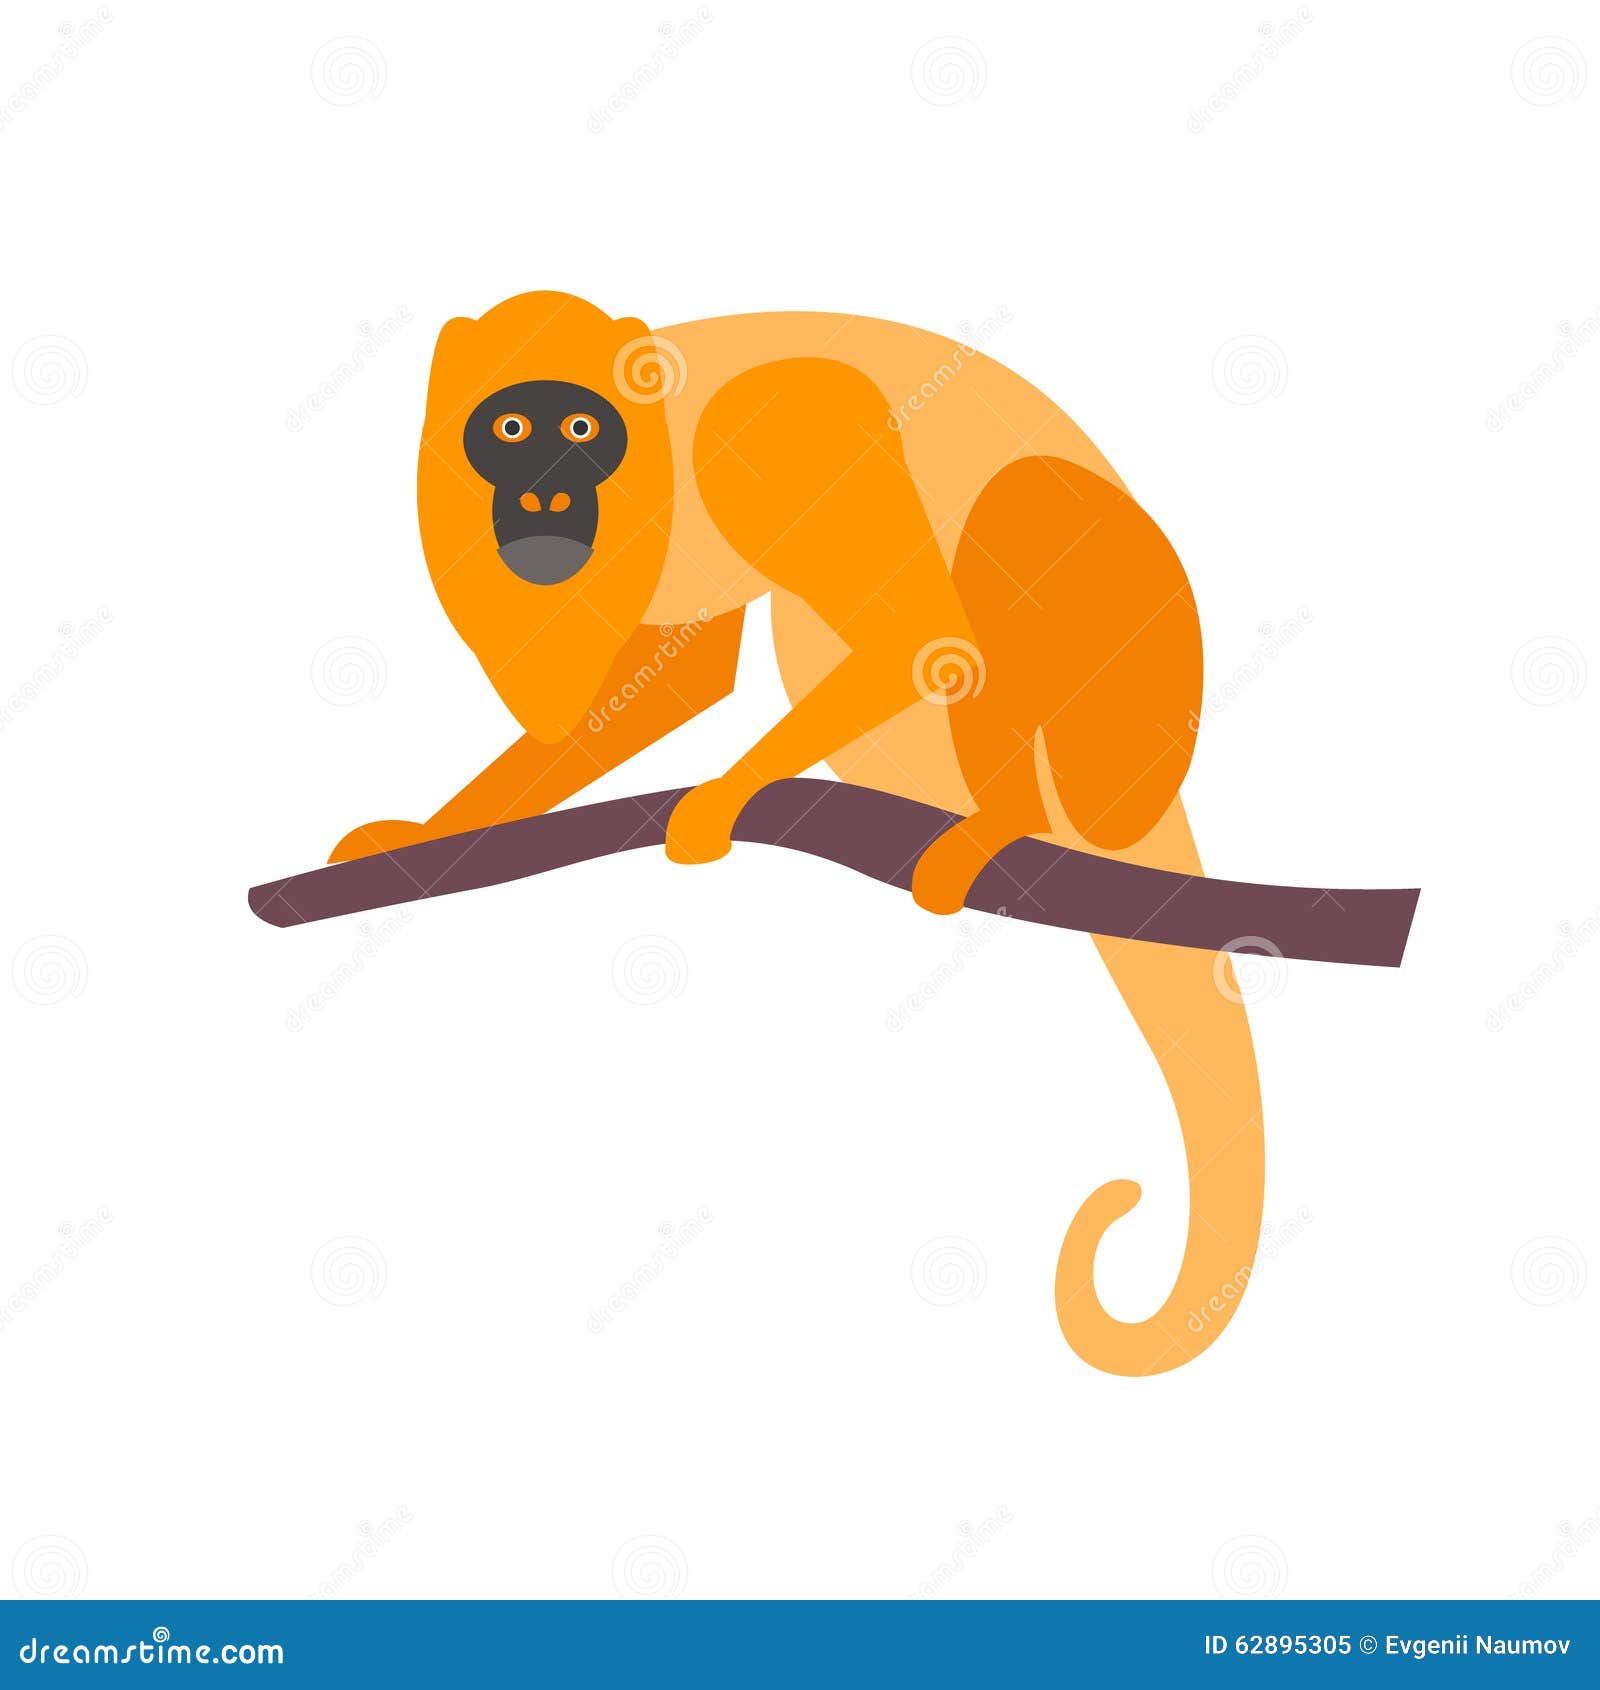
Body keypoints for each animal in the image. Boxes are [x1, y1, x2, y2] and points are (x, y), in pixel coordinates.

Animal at [330, 292, 1263, 1377]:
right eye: (510, 428)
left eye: (581, 430)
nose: (546, 497)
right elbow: (671, 681)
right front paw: (448, 826)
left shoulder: (780, 431)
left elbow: (915, 638)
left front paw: (728, 792)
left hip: (1124, 719)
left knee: (1014, 517)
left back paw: (1003, 823)